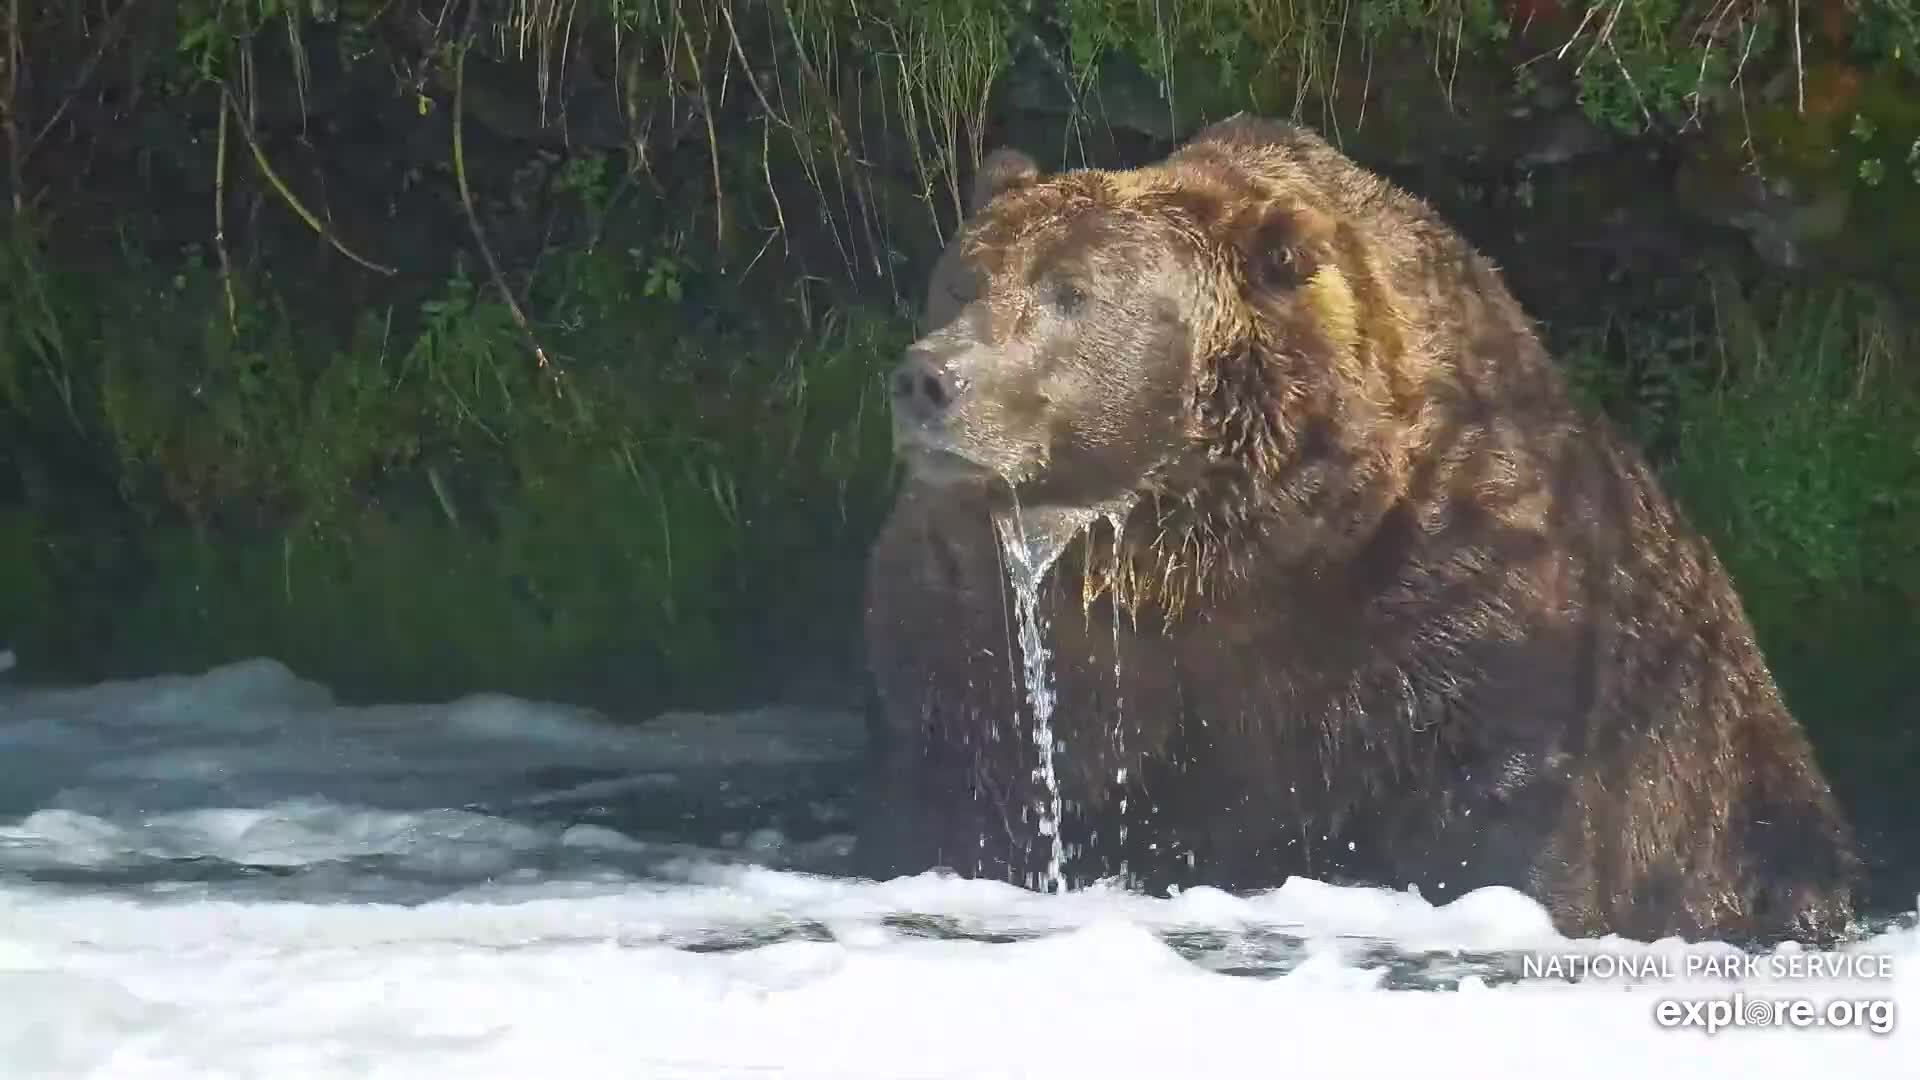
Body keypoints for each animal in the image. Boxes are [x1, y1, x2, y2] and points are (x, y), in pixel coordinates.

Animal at [856, 113, 1860, 944]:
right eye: (963, 279)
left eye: (1071, 293)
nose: (929, 378)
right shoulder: (991, 628)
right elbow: (983, 784)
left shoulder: (1469, 598)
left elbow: (1503, 814)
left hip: (1752, 796)